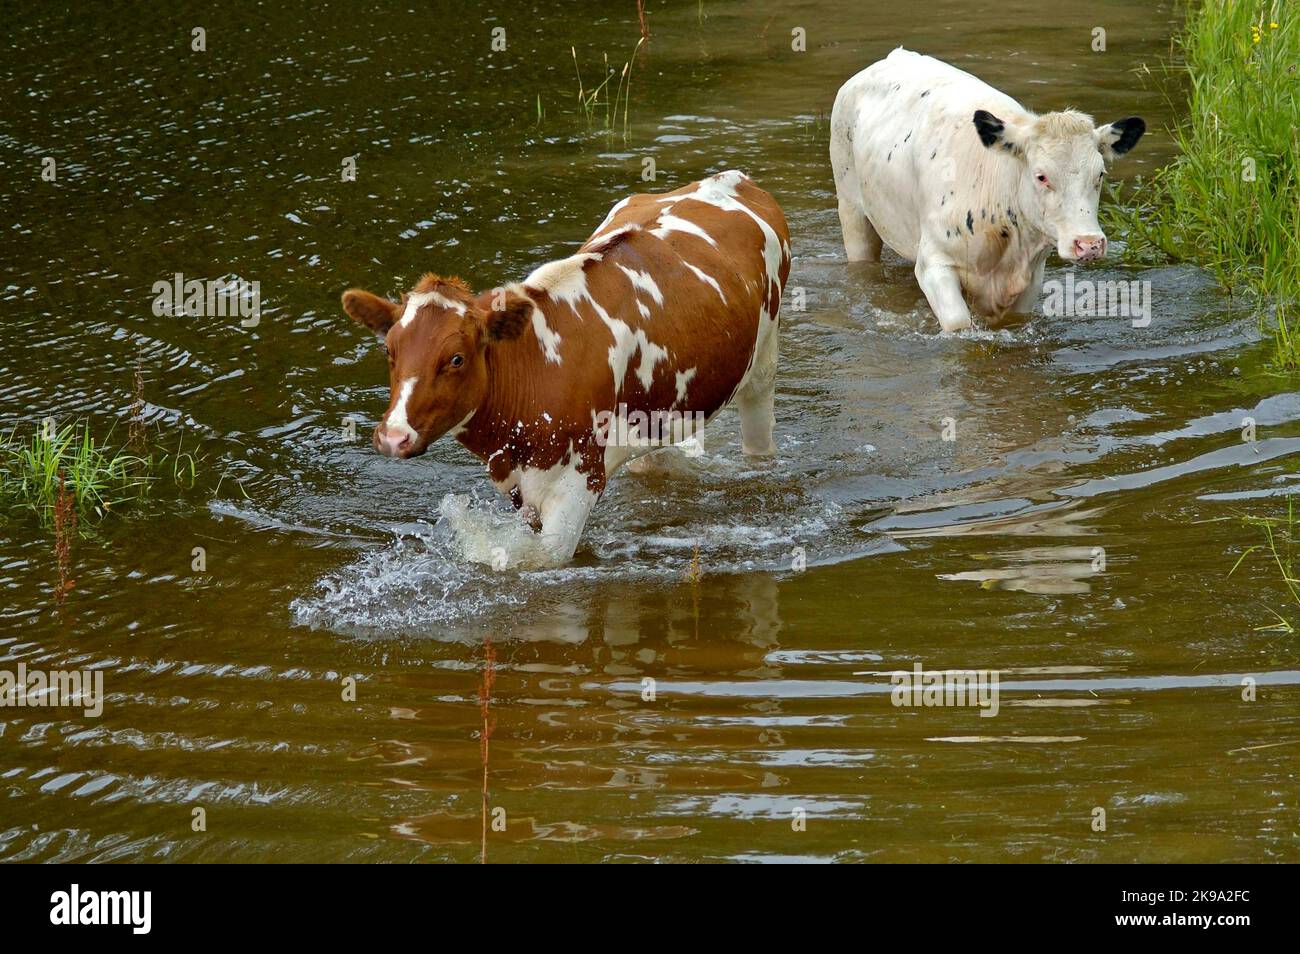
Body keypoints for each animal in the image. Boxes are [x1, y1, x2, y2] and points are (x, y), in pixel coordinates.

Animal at [341, 170, 791, 567]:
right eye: (390, 351)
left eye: (456, 358)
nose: (393, 437)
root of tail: (730, 178)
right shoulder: (521, 483)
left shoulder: (579, 480)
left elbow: (541, 558)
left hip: (763, 364)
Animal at [829, 48, 1145, 332]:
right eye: (1041, 176)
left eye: (1100, 174)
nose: (1089, 244)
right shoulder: (935, 263)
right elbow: (958, 323)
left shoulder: (1032, 275)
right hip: (852, 209)